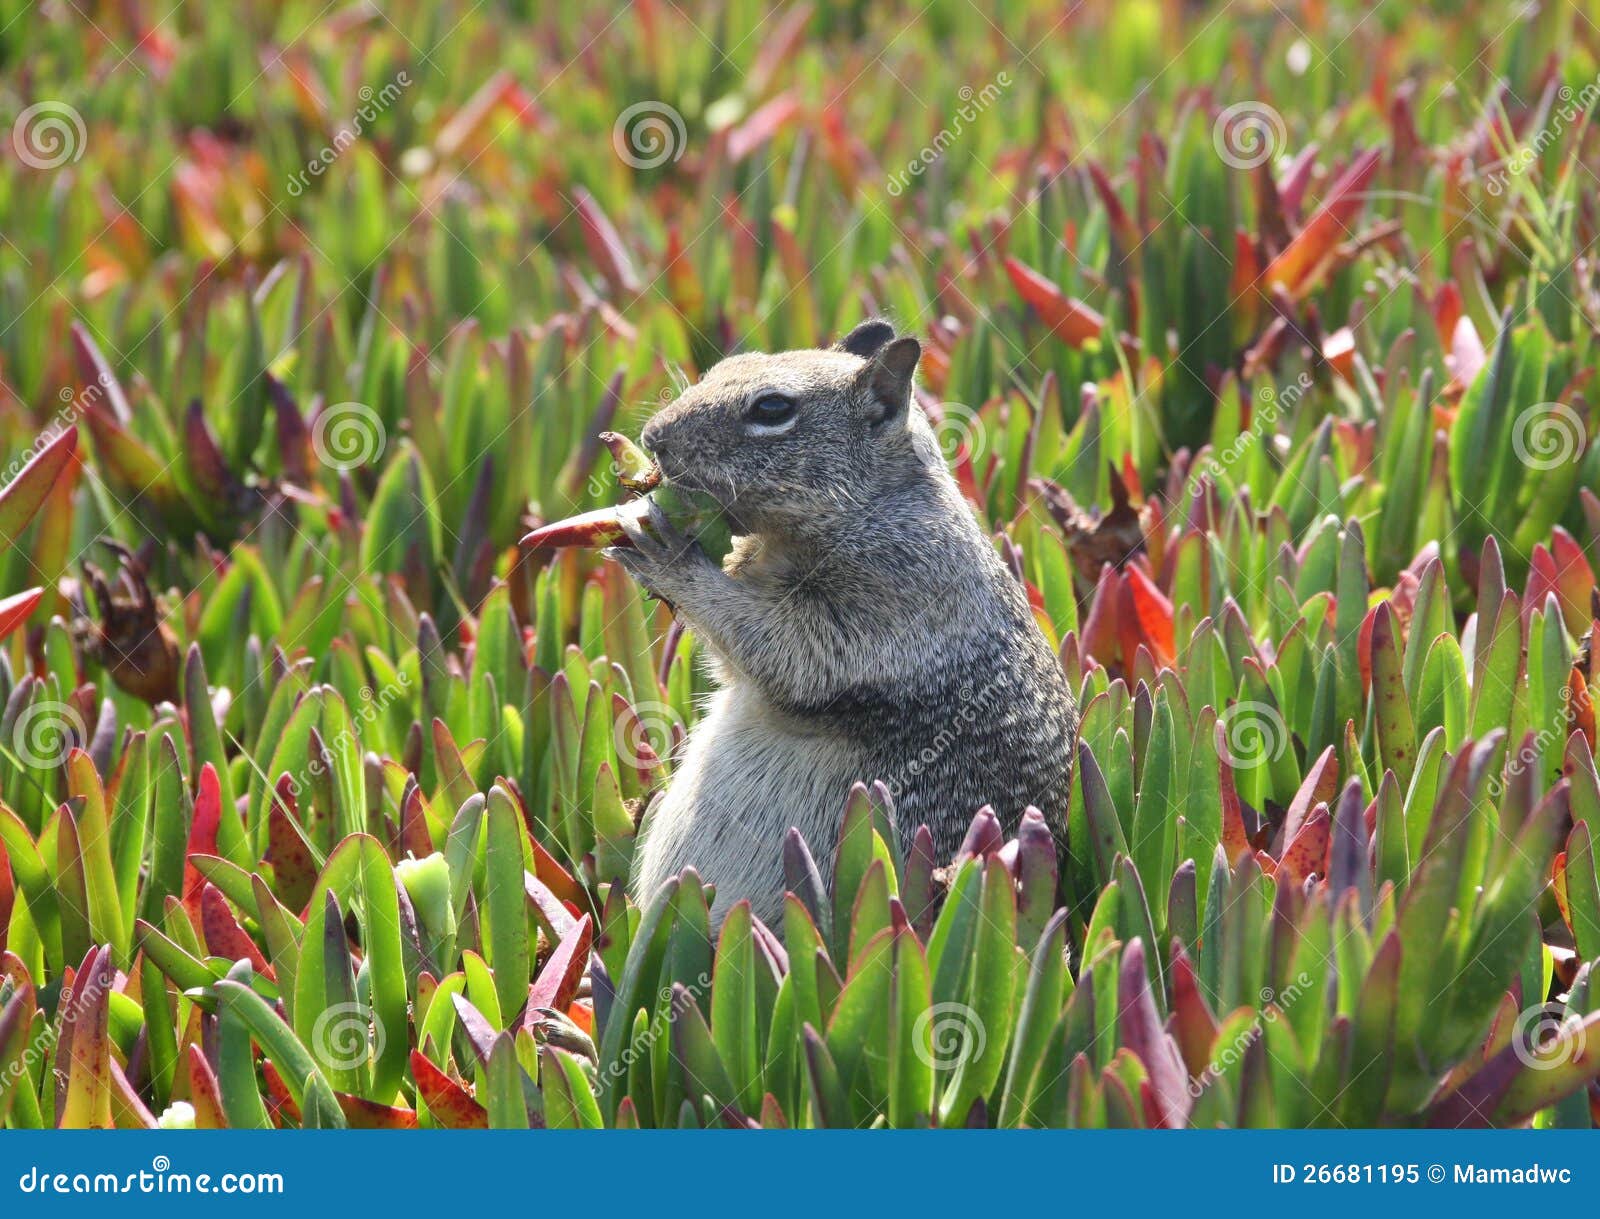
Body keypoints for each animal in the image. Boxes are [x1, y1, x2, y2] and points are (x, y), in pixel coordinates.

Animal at [610, 321, 1077, 928]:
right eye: (721, 369)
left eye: (772, 408)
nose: (654, 437)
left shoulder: (890, 594)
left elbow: (783, 650)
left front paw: (671, 556)